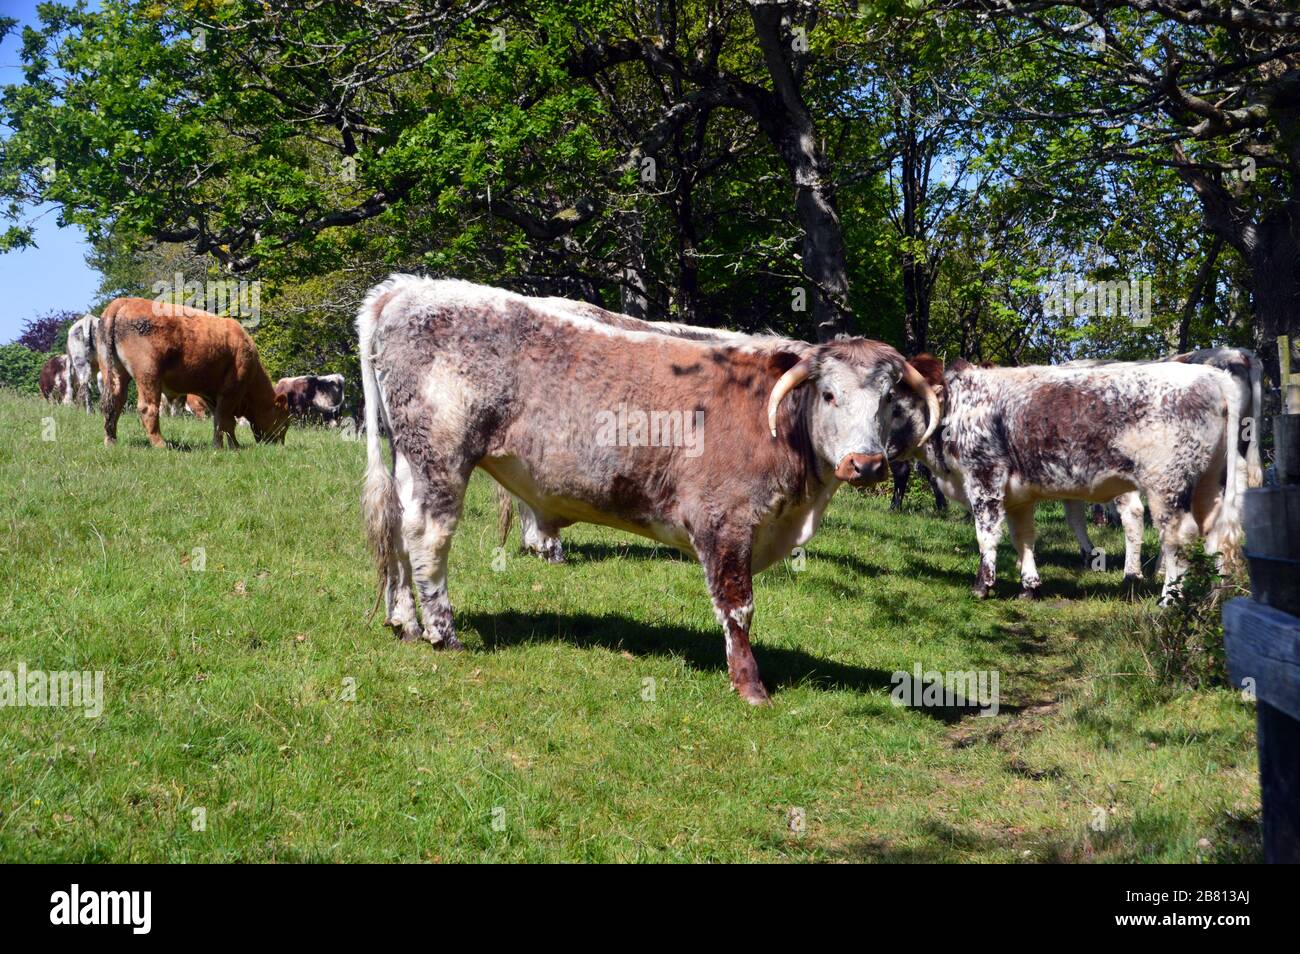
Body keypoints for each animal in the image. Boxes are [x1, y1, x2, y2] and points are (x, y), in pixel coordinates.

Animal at [96, 297, 290, 448]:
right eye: (285, 421)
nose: (280, 445)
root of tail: (124, 302)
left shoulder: (212, 394)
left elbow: (219, 421)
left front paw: (221, 445)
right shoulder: (231, 390)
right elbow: (227, 421)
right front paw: (233, 447)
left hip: (114, 372)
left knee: (113, 403)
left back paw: (111, 441)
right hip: (148, 373)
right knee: (147, 408)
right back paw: (160, 444)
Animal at [357, 276, 940, 705]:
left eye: (889, 398)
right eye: (829, 394)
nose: (865, 464)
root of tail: (407, 288)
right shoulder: (724, 521)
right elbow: (738, 609)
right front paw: (751, 687)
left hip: (409, 459)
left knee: (399, 532)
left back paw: (404, 620)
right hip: (441, 457)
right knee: (428, 537)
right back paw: (442, 631)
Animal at [903, 356, 1241, 604]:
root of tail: (1213, 376)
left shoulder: (985, 479)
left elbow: (987, 534)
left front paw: (982, 586)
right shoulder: (1018, 495)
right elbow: (1023, 536)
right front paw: (1028, 585)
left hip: (1166, 486)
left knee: (1174, 535)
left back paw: (1165, 598)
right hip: (1211, 485)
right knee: (1218, 535)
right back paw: (1215, 597)